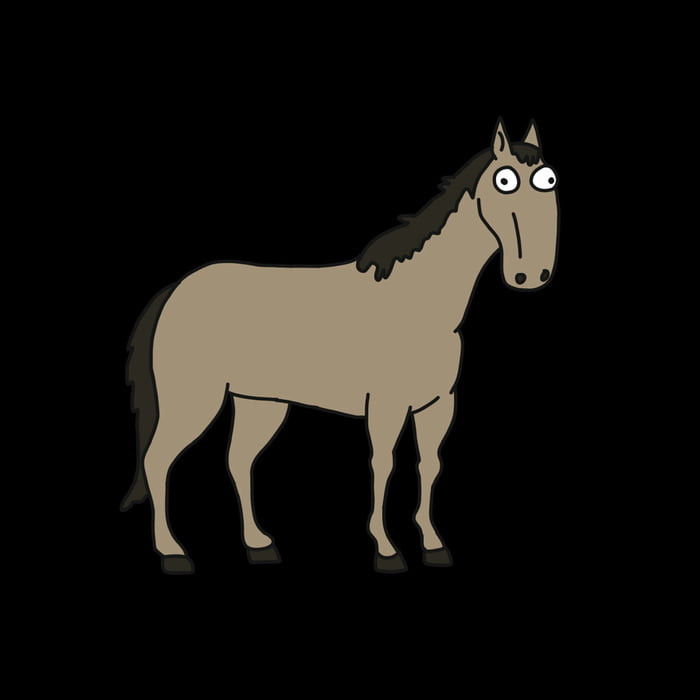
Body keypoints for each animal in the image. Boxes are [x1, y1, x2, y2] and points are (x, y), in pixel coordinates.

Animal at [121, 118, 560, 574]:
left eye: (549, 180)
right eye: (504, 181)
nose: (532, 275)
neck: (417, 302)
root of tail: (176, 290)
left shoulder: (438, 406)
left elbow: (430, 465)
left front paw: (434, 546)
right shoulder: (386, 405)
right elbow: (383, 464)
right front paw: (387, 551)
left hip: (260, 403)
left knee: (238, 461)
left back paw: (259, 546)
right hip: (192, 401)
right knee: (158, 460)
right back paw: (173, 553)